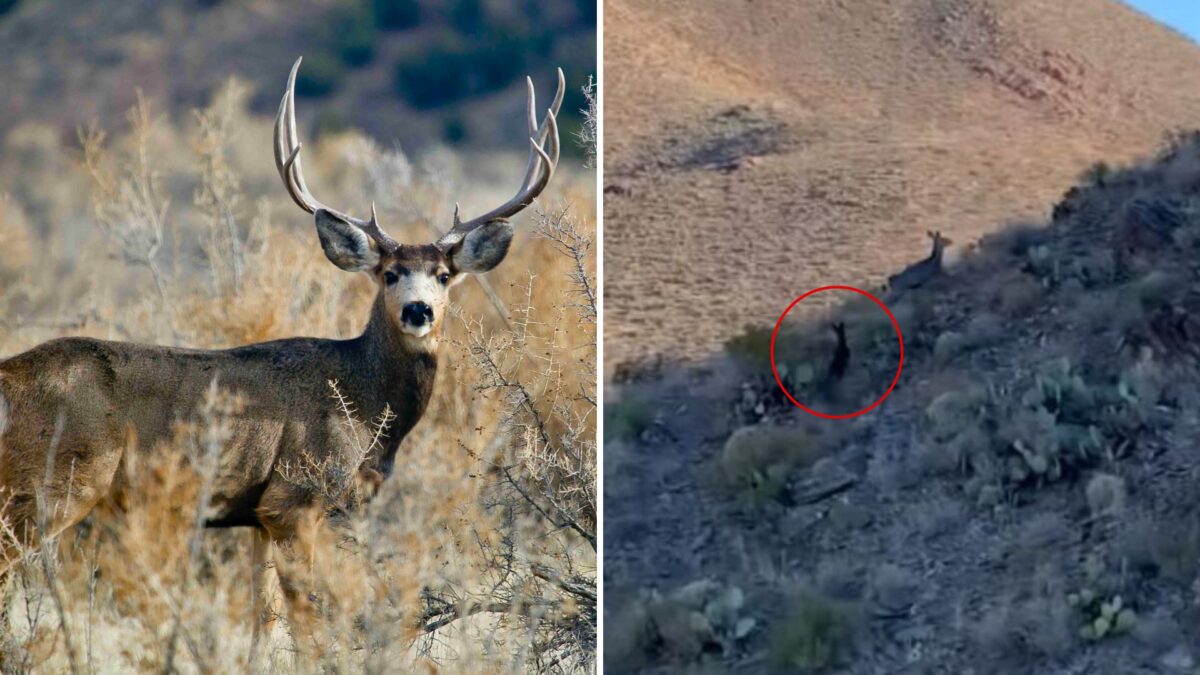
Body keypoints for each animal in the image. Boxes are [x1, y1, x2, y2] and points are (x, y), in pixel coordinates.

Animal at [0, 56, 563, 648]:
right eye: (389, 273)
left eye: (444, 275)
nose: (418, 310)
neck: (364, 407)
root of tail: (9, 378)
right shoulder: (296, 496)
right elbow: (307, 618)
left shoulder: (256, 517)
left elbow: (262, 620)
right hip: (56, 480)